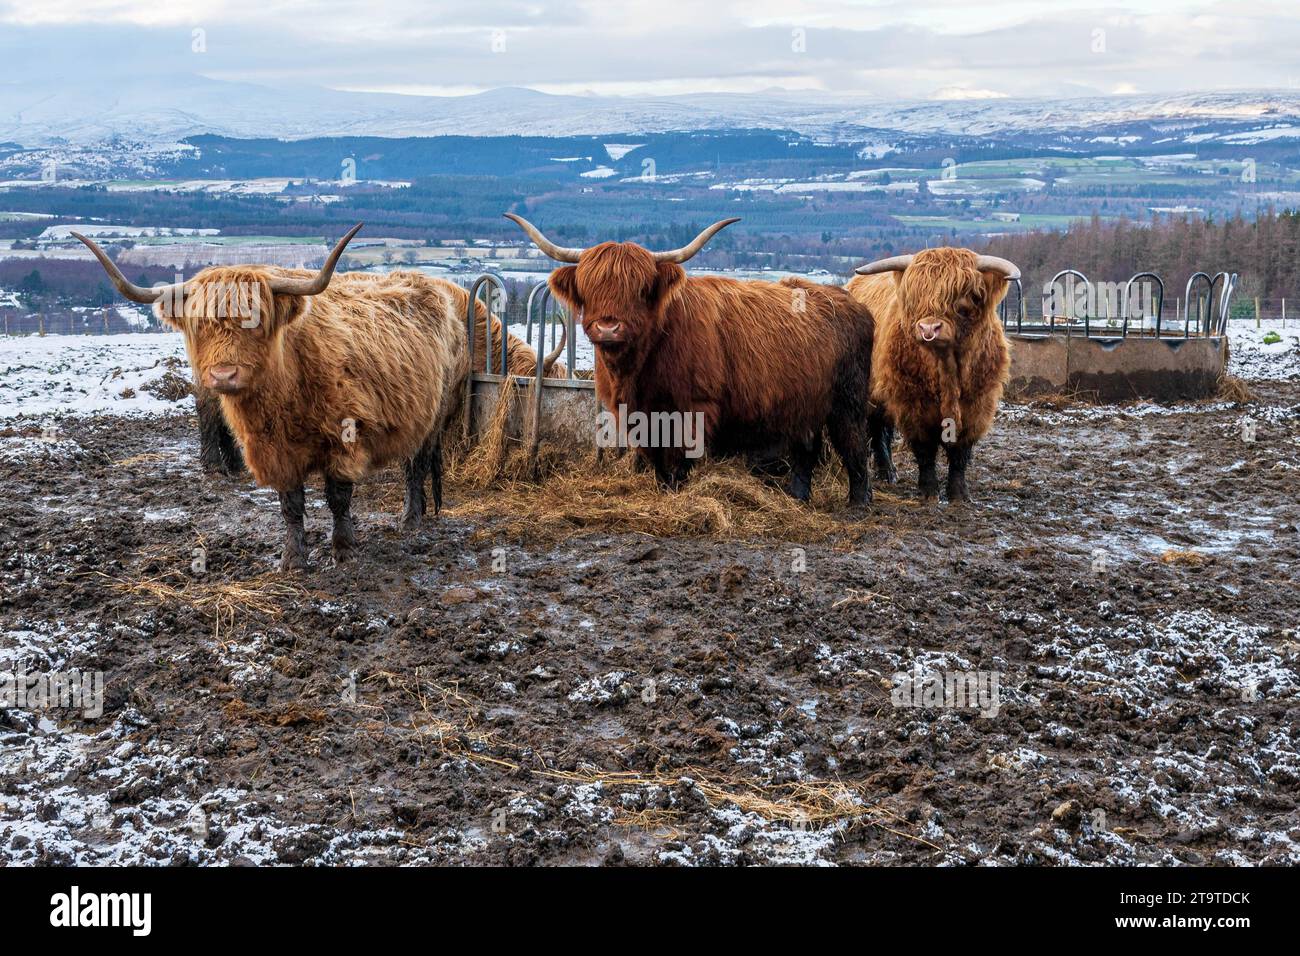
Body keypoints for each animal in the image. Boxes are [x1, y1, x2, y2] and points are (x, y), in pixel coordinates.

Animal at [76, 224, 479, 570]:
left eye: (255, 321)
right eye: (200, 324)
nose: (223, 375)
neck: (286, 392)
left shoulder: (344, 439)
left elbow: (338, 498)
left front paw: (344, 549)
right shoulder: (276, 451)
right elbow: (291, 505)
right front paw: (293, 559)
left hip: (432, 416)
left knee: (416, 466)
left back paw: (410, 518)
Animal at [505, 213, 890, 505]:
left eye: (640, 288)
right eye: (589, 286)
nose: (608, 327)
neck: (640, 366)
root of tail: (851, 301)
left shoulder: (693, 408)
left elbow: (679, 458)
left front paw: (677, 493)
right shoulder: (641, 416)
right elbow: (657, 460)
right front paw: (663, 491)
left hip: (847, 400)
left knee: (855, 444)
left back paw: (860, 501)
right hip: (803, 403)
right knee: (806, 448)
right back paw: (798, 497)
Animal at [846, 248, 1017, 503]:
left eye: (964, 295)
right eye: (917, 296)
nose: (928, 328)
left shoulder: (977, 406)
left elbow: (960, 453)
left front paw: (959, 494)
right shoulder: (913, 403)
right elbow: (925, 449)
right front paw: (928, 491)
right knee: (875, 429)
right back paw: (886, 472)